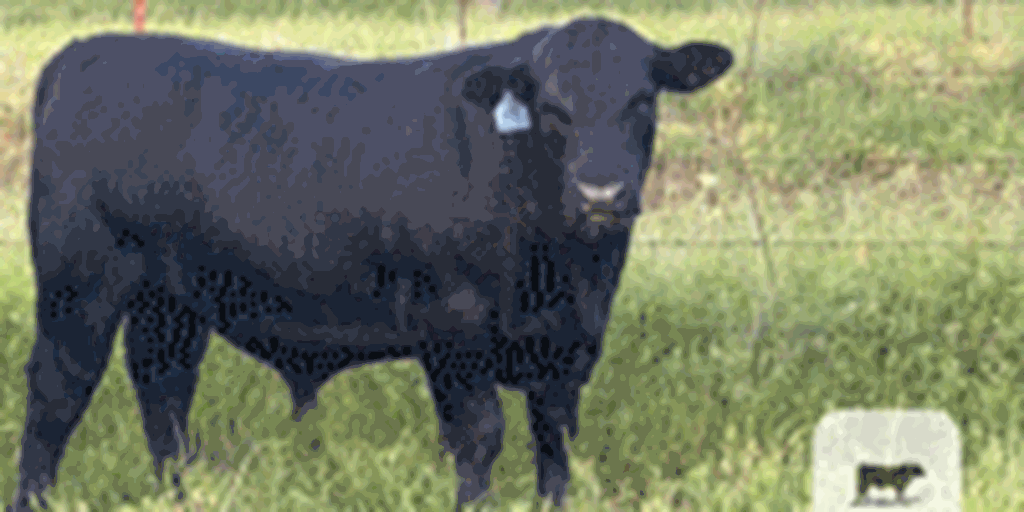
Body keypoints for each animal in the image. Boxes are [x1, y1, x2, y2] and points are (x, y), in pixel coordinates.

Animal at [12, 17, 732, 511]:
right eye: (552, 109)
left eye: (643, 100)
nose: (601, 193)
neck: (565, 270)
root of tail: (91, 50)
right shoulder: (453, 326)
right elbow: (479, 437)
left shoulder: (570, 345)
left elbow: (554, 441)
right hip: (81, 285)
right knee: (57, 391)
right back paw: (35, 497)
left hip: (172, 297)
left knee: (163, 390)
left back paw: (180, 495)